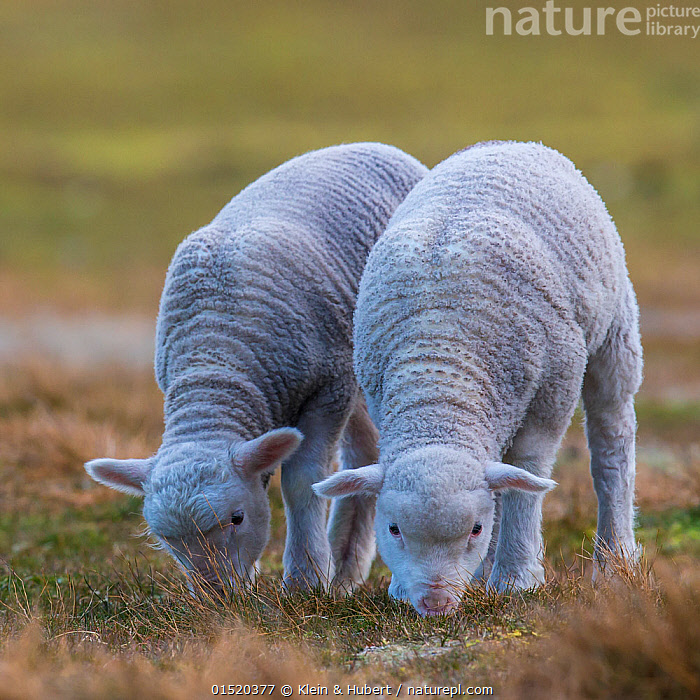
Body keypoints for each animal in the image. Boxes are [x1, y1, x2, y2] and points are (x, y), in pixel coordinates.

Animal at [85, 143, 428, 593]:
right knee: (364, 452)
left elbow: (301, 483)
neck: (216, 364)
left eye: (237, 518)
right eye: (166, 539)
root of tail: (374, 146)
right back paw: (345, 568)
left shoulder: (327, 387)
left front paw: (305, 580)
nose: (215, 598)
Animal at [314, 141, 643, 616]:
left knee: (611, 443)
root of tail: (511, 144)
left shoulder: (554, 385)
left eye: (474, 529)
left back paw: (615, 560)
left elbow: (529, 469)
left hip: (613, 332)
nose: (434, 602)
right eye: (393, 529)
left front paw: (518, 577)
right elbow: (507, 482)